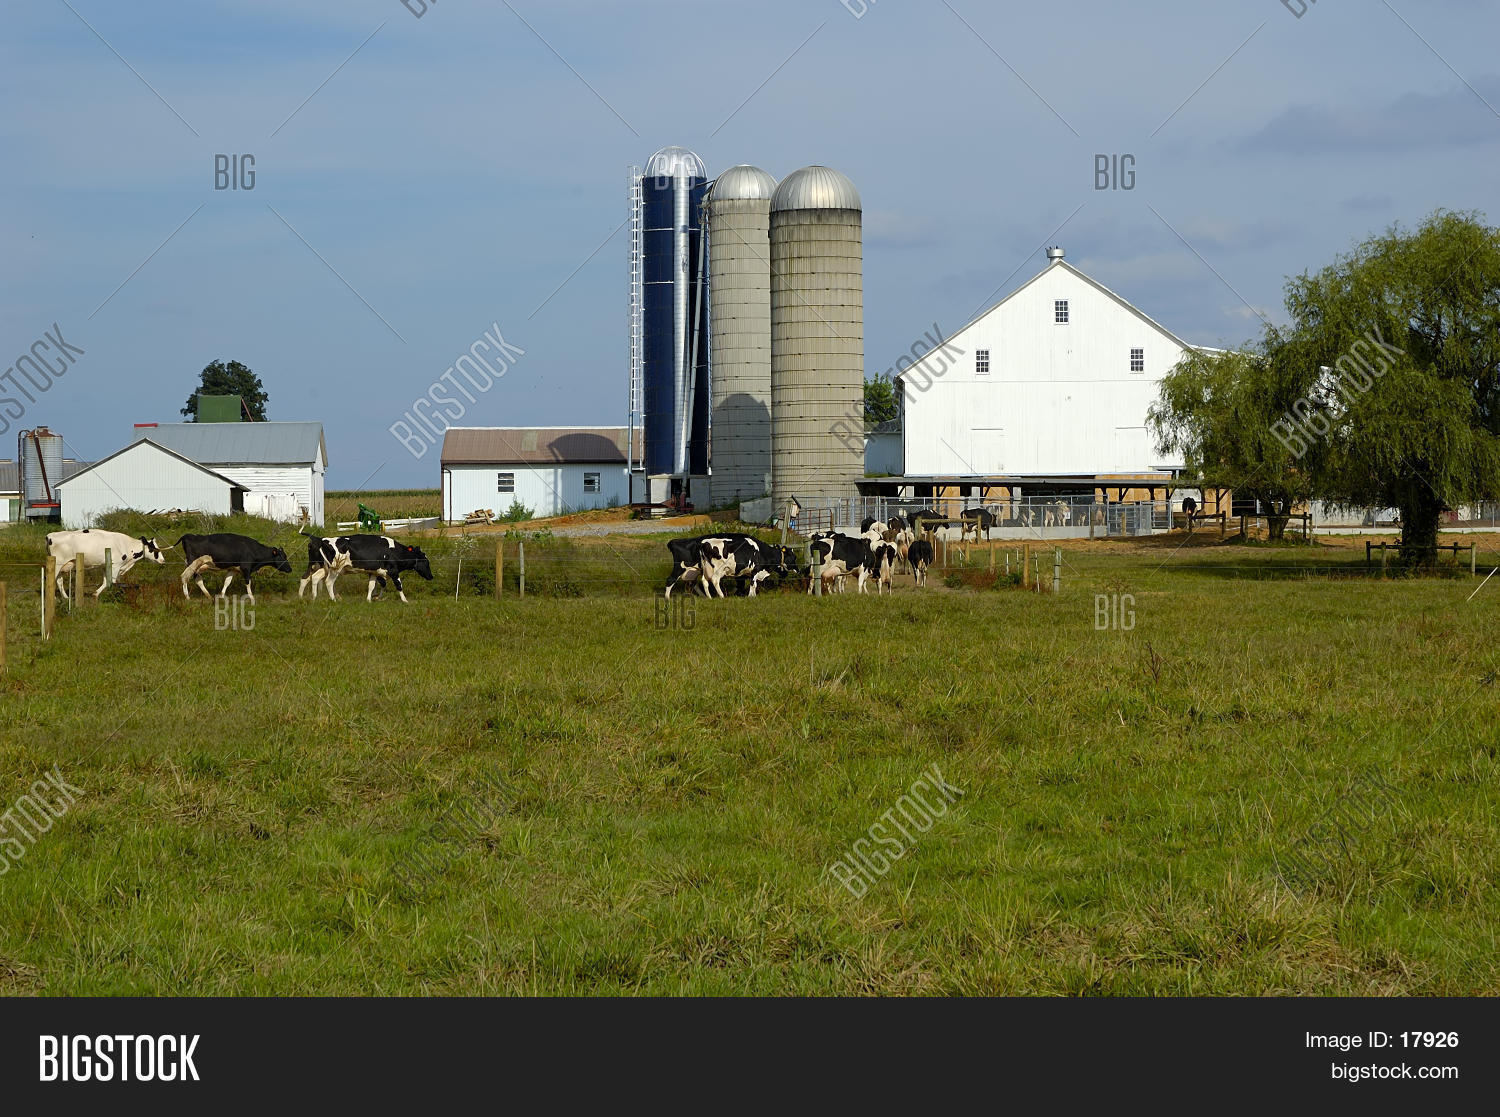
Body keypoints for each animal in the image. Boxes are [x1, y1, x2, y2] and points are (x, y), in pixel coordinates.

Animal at [300, 534, 433, 602]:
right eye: (425, 561)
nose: (431, 576)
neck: (393, 551)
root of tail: (321, 539)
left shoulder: (374, 572)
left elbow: (372, 585)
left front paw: (370, 599)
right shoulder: (393, 570)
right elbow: (399, 585)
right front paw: (405, 600)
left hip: (320, 566)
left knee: (309, 578)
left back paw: (308, 597)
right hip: (334, 569)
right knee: (328, 582)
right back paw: (333, 599)